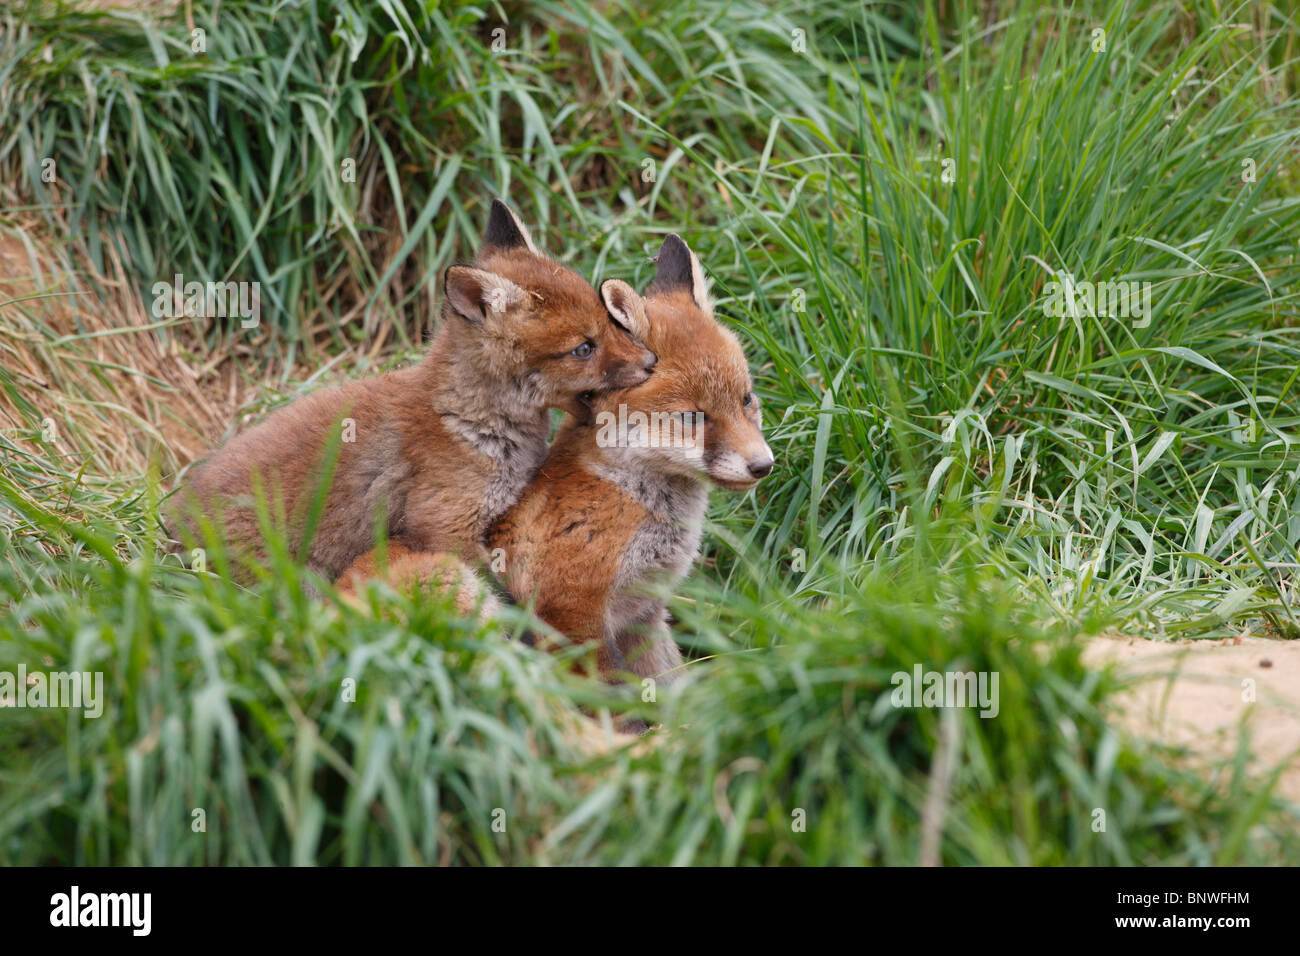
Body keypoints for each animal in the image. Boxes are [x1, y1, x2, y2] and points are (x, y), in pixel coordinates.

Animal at [168, 199, 657, 584]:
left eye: (609, 321)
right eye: (583, 348)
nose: (651, 360)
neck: (470, 421)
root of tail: (172, 526)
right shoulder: (446, 530)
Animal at [337, 234, 773, 686]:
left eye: (746, 399)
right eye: (692, 418)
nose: (763, 465)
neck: (626, 492)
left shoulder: (645, 615)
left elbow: (667, 681)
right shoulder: (571, 608)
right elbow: (612, 692)